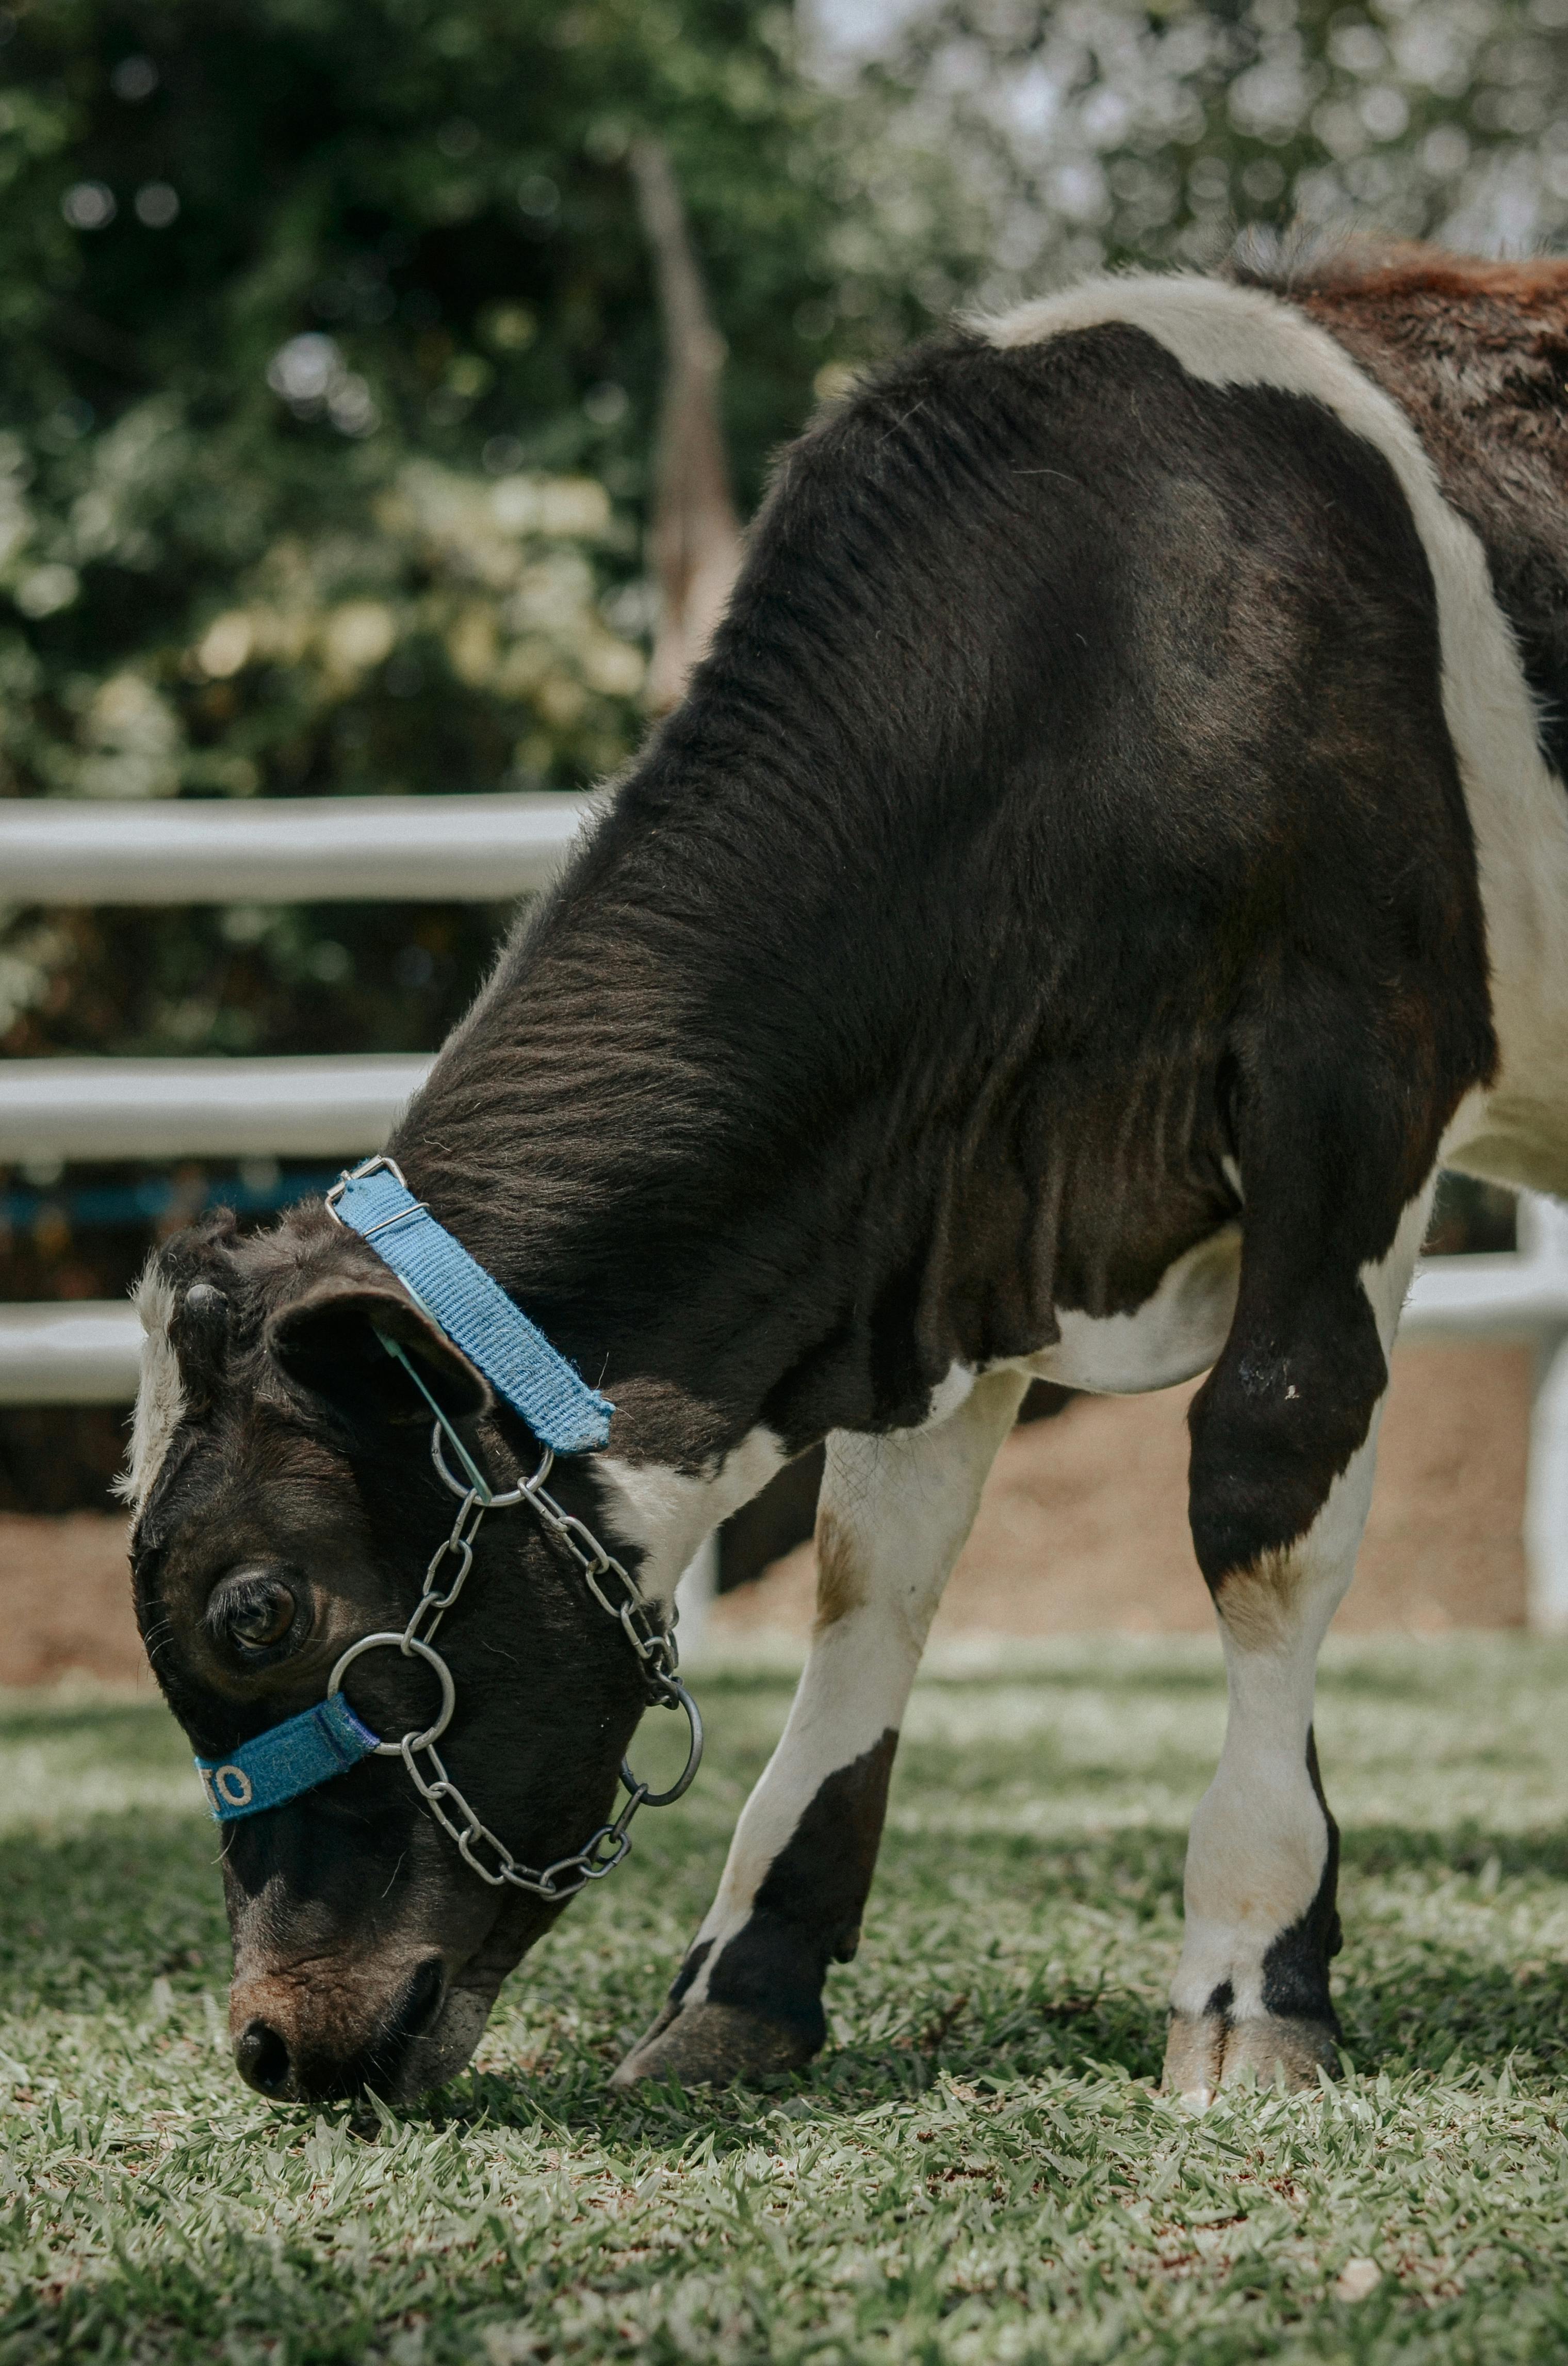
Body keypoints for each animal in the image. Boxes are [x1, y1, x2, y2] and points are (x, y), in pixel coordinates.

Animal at [125, 243, 1568, 2108]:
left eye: (251, 1611)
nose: (275, 2037)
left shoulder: (1354, 1067)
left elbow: (1269, 1482)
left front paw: (1254, 1969)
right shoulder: (957, 1206)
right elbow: (874, 1562)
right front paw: (746, 1971)